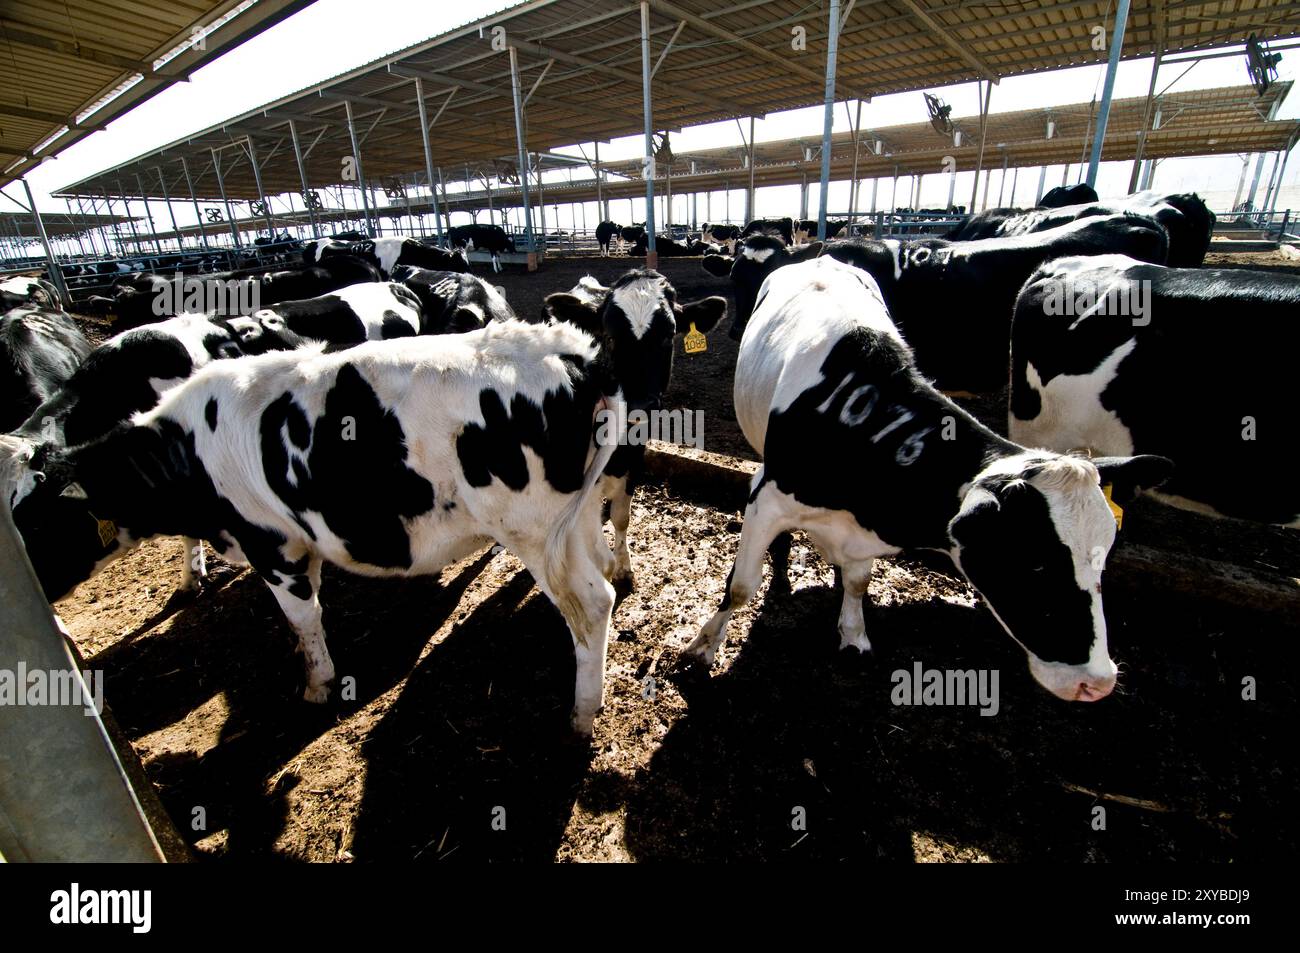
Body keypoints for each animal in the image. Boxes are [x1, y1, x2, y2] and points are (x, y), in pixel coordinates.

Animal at [680, 255, 1172, 704]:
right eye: (1033, 562)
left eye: (1103, 557)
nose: (1097, 682)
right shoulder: (769, 500)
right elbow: (741, 585)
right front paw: (703, 647)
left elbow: (858, 582)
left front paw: (854, 634)